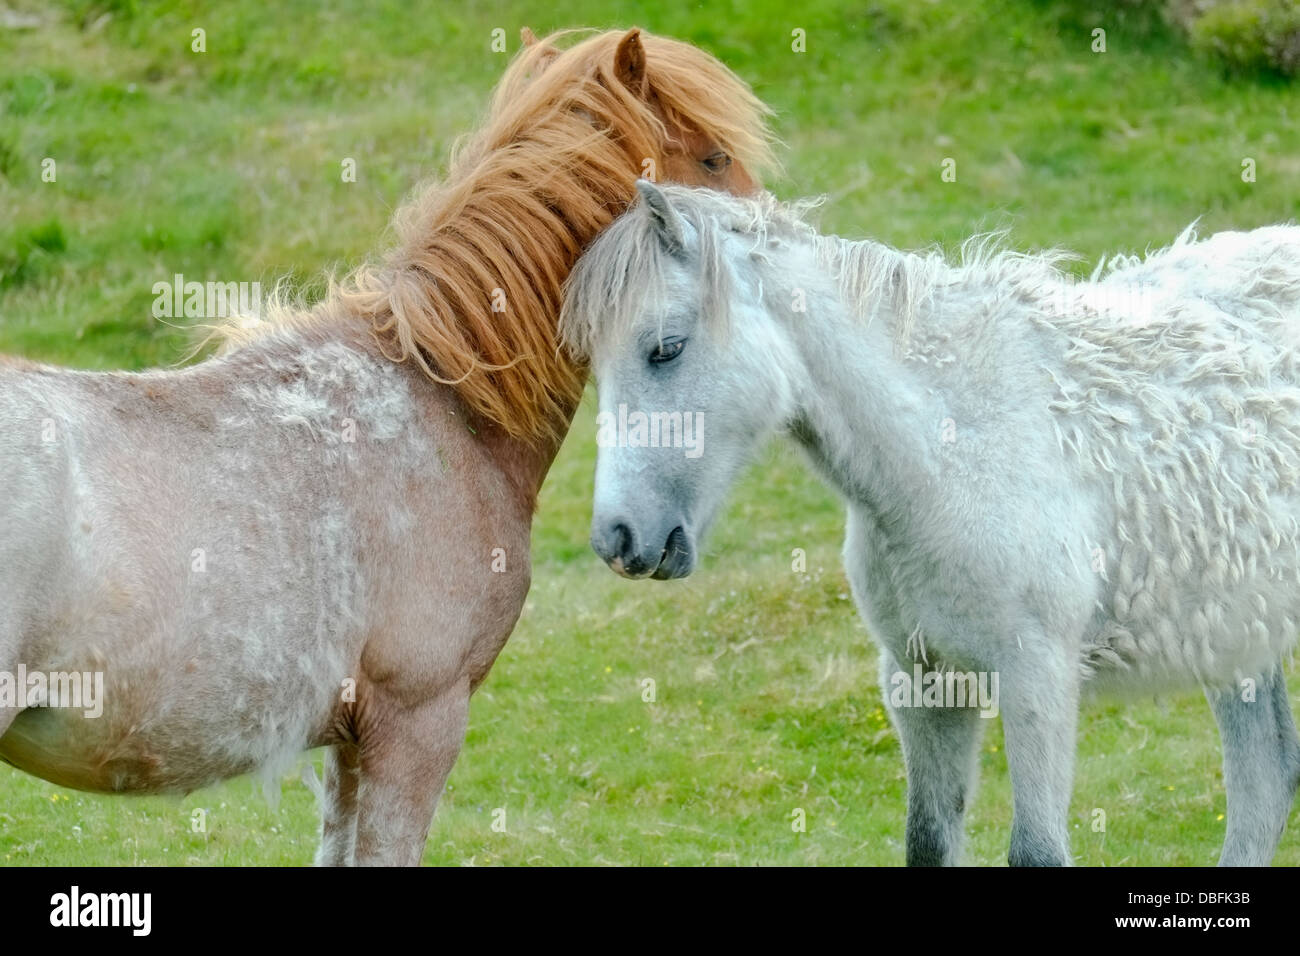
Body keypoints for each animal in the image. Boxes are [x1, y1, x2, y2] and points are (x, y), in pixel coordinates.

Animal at [560, 180, 1300, 866]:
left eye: (666, 348)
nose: (619, 539)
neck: (953, 447)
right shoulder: (923, 682)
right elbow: (928, 841)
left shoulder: (1037, 679)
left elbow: (1036, 849)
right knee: (1264, 780)